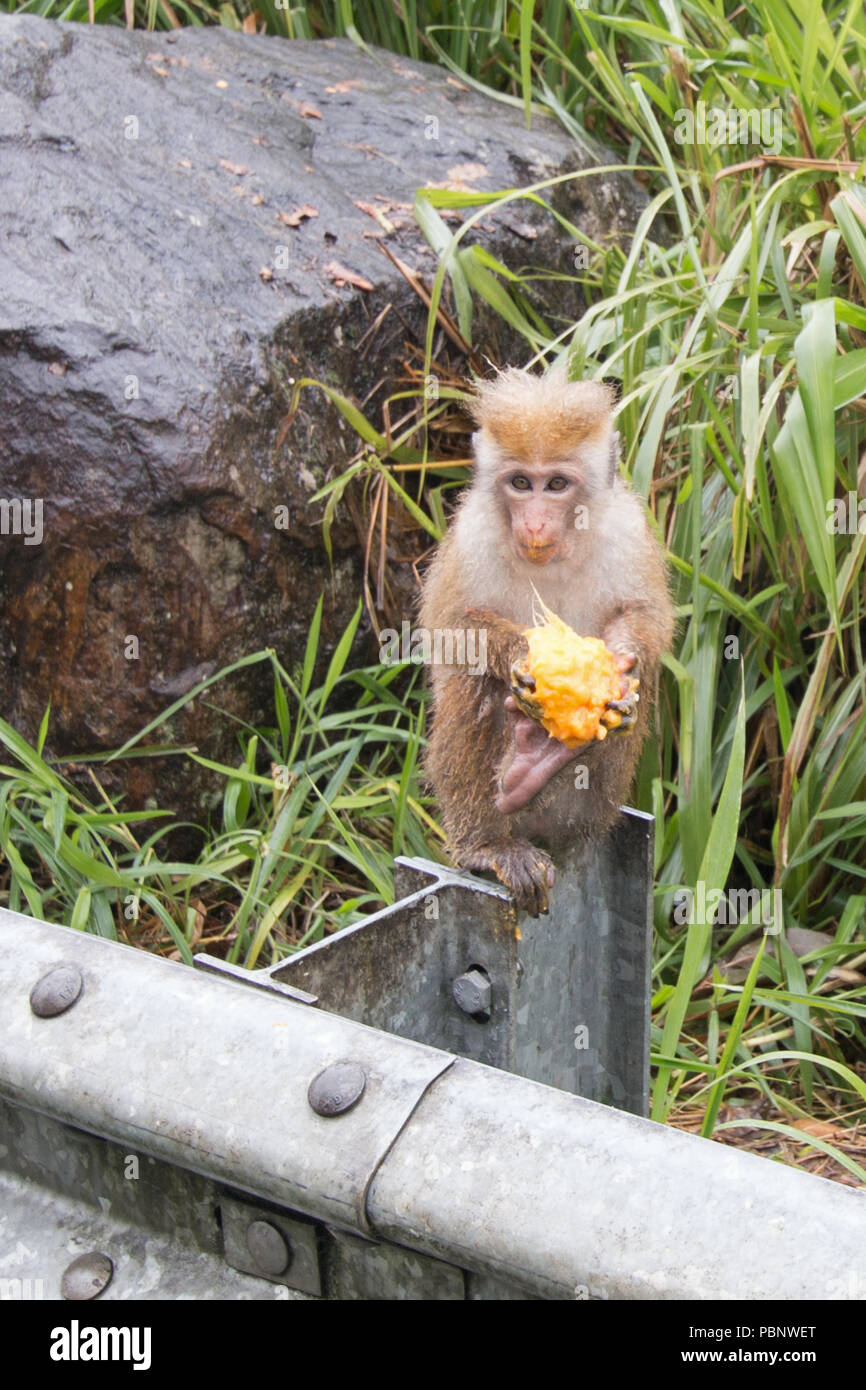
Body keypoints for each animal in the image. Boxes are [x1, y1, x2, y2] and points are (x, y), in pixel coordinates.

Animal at [418, 366, 674, 917]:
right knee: (474, 685)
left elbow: (648, 617)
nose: (534, 521)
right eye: (520, 483)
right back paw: (496, 826)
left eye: (556, 484)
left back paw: (546, 764)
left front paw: (625, 670)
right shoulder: (471, 534)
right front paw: (520, 654)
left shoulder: (627, 529)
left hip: (586, 811)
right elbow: (450, 625)